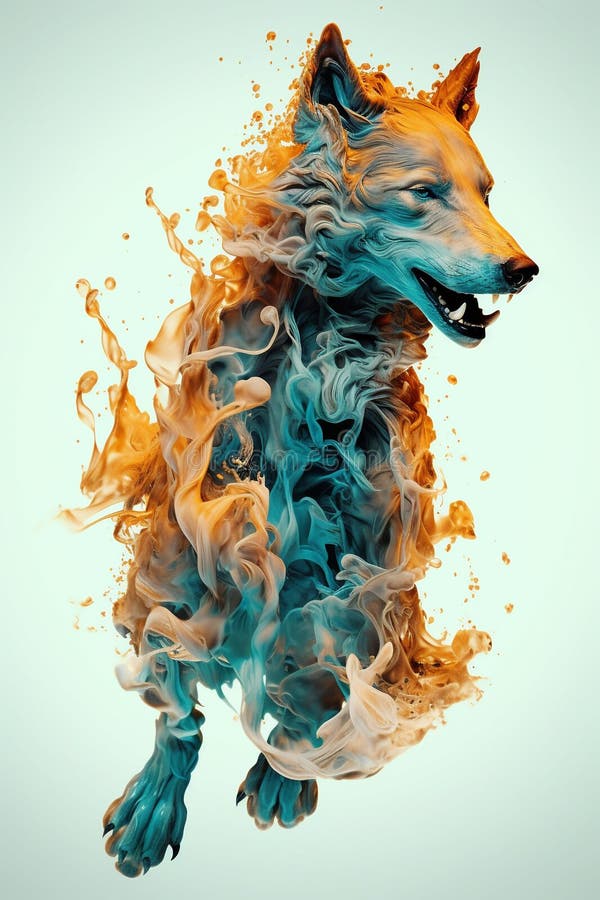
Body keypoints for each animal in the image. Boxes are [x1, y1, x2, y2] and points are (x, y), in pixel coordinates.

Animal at [79, 23, 537, 877]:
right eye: (425, 193)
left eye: (487, 192)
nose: (524, 269)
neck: (324, 366)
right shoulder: (187, 534)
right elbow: (175, 685)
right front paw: (158, 796)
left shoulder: (371, 545)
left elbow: (324, 664)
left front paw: (288, 769)